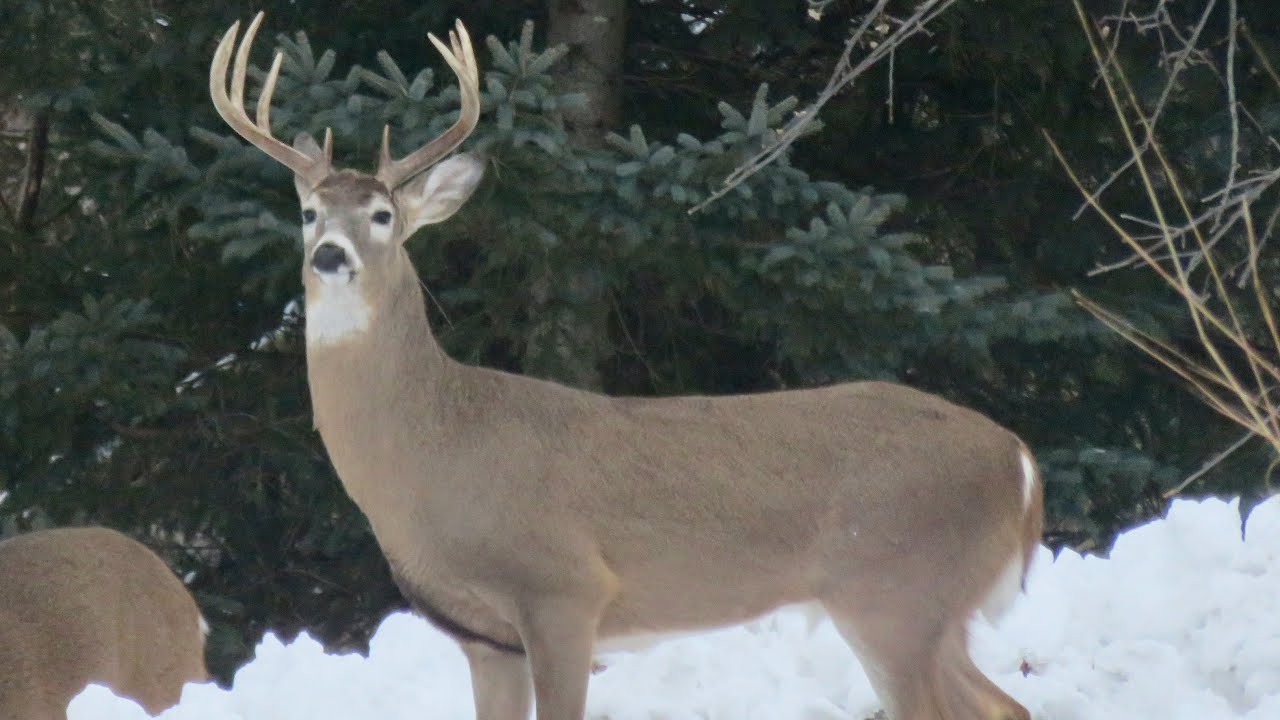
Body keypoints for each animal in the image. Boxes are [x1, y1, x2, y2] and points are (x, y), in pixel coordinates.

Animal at [210, 12, 1043, 720]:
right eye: (309, 212)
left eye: (383, 216)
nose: (330, 256)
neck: (433, 451)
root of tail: (1021, 460)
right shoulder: (484, 637)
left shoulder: (564, 591)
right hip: (928, 609)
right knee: (1007, 706)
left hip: (895, 591)